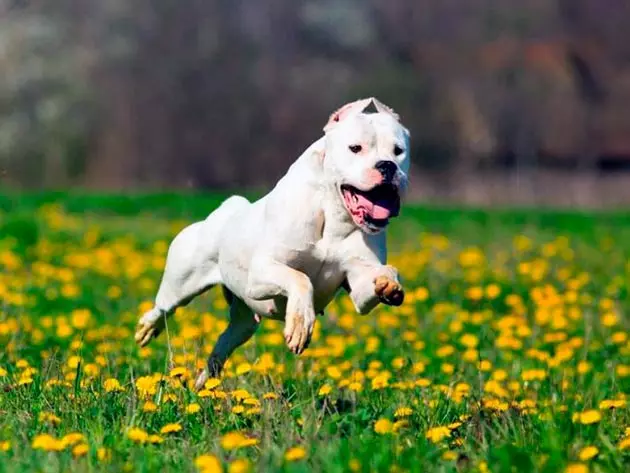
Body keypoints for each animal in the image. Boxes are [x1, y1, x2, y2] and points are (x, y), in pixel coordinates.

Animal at [136, 97, 412, 388]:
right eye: (355, 148)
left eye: (398, 151)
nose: (387, 166)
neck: (332, 213)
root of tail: (224, 211)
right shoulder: (261, 273)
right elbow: (300, 279)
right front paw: (300, 324)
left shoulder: (359, 286)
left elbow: (377, 280)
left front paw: (389, 283)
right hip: (182, 283)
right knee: (164, 307)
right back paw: (147, 329)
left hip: (244, 322)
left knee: (224, 342)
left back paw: (205, 383)